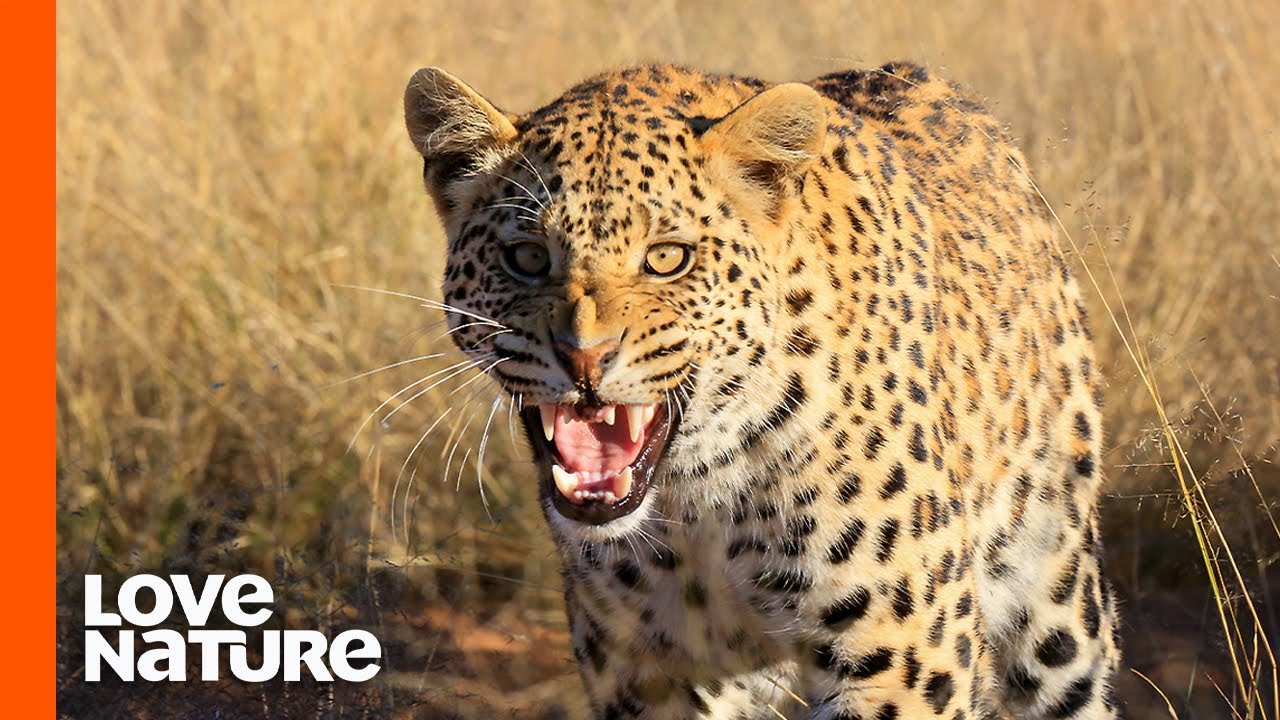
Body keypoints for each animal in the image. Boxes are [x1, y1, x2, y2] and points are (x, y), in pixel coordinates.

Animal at [401, 61, 1123, 719]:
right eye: (525, 258)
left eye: (667, 258)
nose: (585, 355)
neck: (697, 498)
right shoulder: (645, 669)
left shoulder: (902, 655)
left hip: (1057, 600)